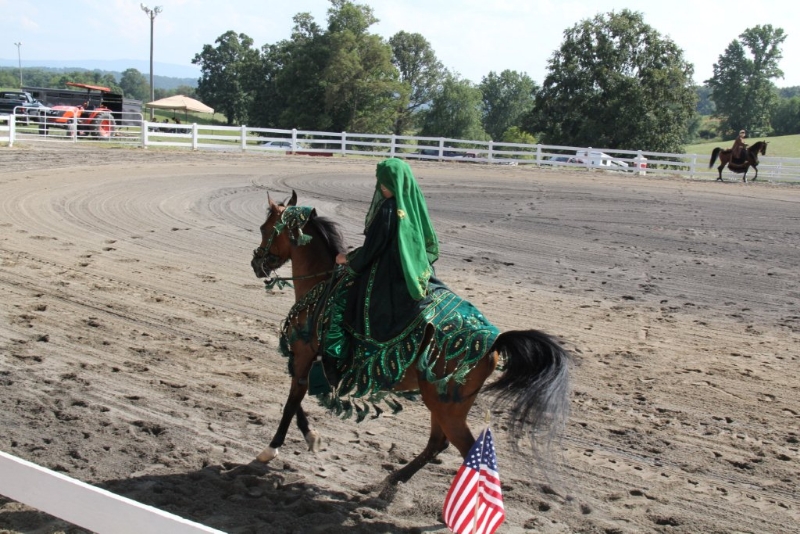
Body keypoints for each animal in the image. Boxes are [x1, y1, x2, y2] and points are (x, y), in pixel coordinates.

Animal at [250, 190, 571, 496]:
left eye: (265, 228)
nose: (256, 263)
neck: (322, 282)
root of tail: (493, 342)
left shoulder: (303, 353)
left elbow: (292, 401)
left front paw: (271, 449)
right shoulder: (306, 359)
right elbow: (297, 397)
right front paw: (312, 437)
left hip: (446, 408)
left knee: (466, 451)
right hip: (443, 403)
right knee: (438, 443)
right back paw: (390, 482)